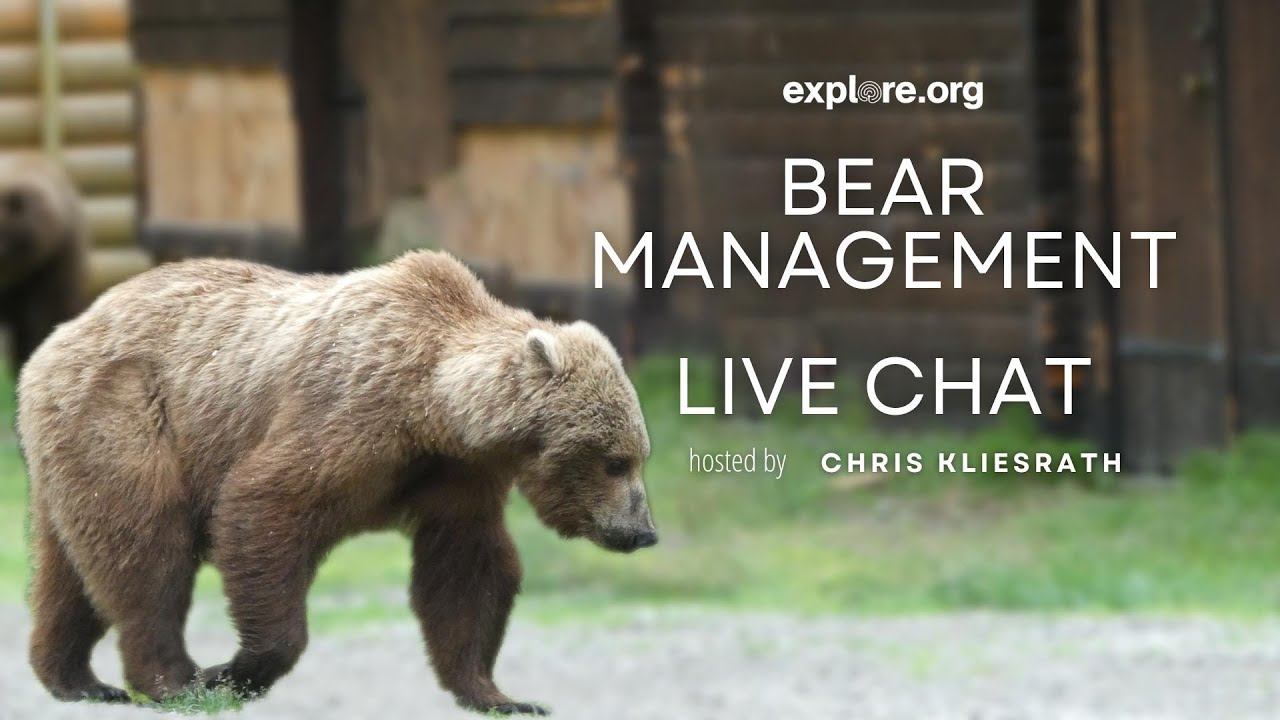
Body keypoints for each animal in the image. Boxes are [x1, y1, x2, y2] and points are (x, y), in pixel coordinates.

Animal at [17, 251, 657, 715]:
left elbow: (466, 568)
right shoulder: (350, 412)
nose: (643, 531)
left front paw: (500, 694)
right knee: (146, 550)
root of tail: (54, 339)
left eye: (637, 457)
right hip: (130, 415)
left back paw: (75, 677)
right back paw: (173, 679)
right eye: (616, 461)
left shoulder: (456, 476)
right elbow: (263, 504)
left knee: (70, 568)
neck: (437, 409)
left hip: (71, 454)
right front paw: (235, 670)